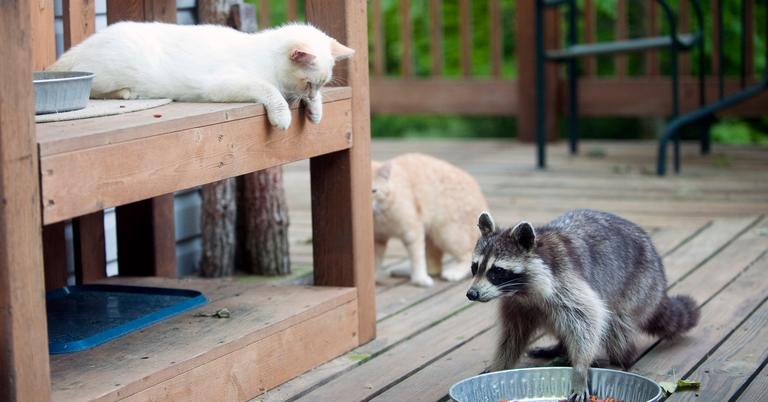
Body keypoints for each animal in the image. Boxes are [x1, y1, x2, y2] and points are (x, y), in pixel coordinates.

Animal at [466, 209, 699, 402]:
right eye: (474, 267)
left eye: (497, 271)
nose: (471, 294)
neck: (522, 291)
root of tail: (660, 282)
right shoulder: (516, 304)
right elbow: (512, 336)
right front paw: (499, 366)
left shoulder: (564, 281)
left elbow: (588, 318)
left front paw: (579, 370)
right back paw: (560, 347)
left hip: (639, 285)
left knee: (615, 323)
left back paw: (620, 360)